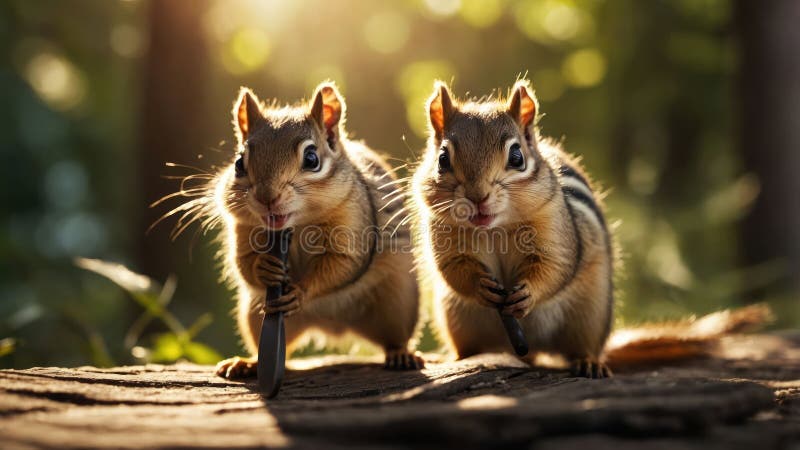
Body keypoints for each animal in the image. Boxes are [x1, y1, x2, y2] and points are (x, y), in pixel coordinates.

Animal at [210, 82, 423, 378]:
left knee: (395, 337)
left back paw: (401, 354)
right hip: (254, 314)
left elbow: (342, 265)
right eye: (239, 163)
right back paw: (248, 363)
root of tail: (332, 325)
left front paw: (301, 291)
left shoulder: (355, 224)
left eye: (311, 159)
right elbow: (243, 262)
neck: (298, 224)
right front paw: (264, 267)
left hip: (398, 304)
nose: (267, 198)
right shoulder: (244, 227)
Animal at [410, 80, 771, 378]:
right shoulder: (445, 236)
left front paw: (528, 292)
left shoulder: (557, 233)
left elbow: (554, 267)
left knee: (581, 349)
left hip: (589, 313)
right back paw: (449, 358)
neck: (493, 228)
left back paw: (589, 363)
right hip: (457, 317)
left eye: (517, 157)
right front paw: (481, 285)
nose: (478, 198)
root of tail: (531, 350)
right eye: (442, 159)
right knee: (469, 348)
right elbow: (453, 269)